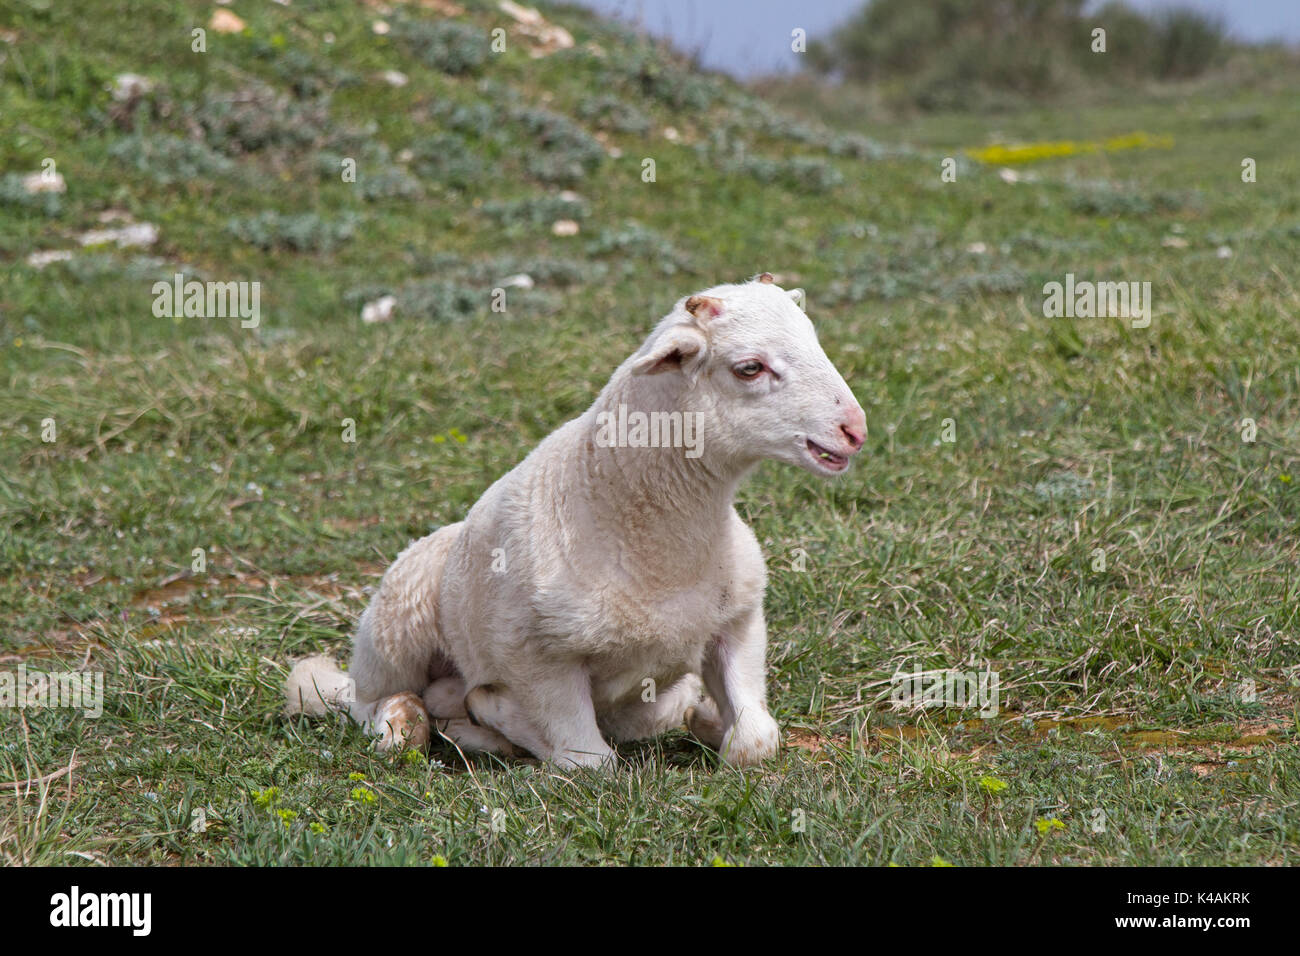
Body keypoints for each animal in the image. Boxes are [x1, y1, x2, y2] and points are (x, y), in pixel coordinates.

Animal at [285, 273, 867, 768]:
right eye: (749, 367)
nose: (855, 429)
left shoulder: (739, 623)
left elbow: (756, 742)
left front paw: (727, 730)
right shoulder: (538, 656)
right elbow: (590, 763)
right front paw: (501, 713)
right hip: (393, 626)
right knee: (373, 702)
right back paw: (413, 722)